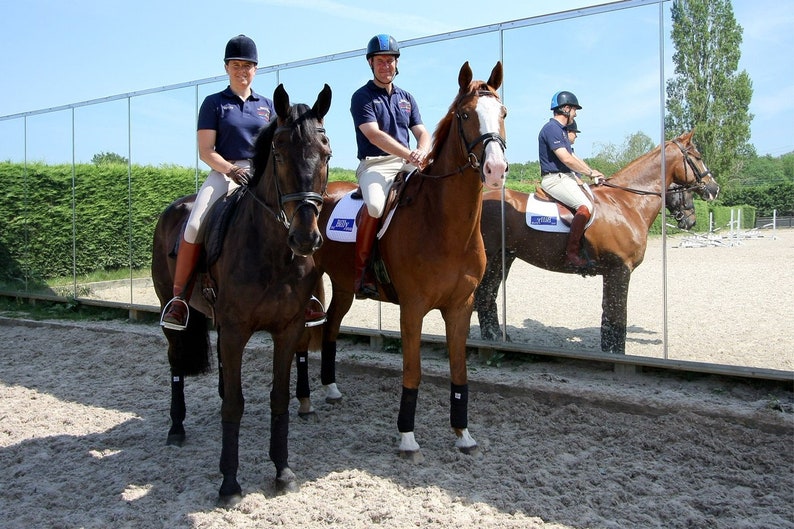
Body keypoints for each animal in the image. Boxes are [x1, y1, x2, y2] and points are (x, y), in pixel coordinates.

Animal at [151, 83, 332, 504]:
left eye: (326, 154)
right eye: (278, 153)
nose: (305, 238)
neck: (273, 250)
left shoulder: (288, 329)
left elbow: (279, 398)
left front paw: (282, 472)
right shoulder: (236, 331)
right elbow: (235, 405)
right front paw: (229, 484)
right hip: (171, 311)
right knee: (175, 362)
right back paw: (176, 428)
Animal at [301, 61, 507, 460]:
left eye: (502, 113)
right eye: (465, 115)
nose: (495, 169)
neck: (442, 224)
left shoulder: (460, 306)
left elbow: (459, 371)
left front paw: (463, 434)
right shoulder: (412, 308)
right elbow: (413, 371)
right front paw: (407, 437)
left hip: (345, 287)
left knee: (331, 326)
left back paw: (331, 389)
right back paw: (304, 402)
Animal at [473, 130, 719, 353]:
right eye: (697, 156)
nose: (713, 189)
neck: (626, 202)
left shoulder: (614, 272)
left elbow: (609, 315)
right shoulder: (619, 269)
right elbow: (616, 316)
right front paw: (615, 352)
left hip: (503, 259)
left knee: (488, 295)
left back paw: (496, 337)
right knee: (481, 294)